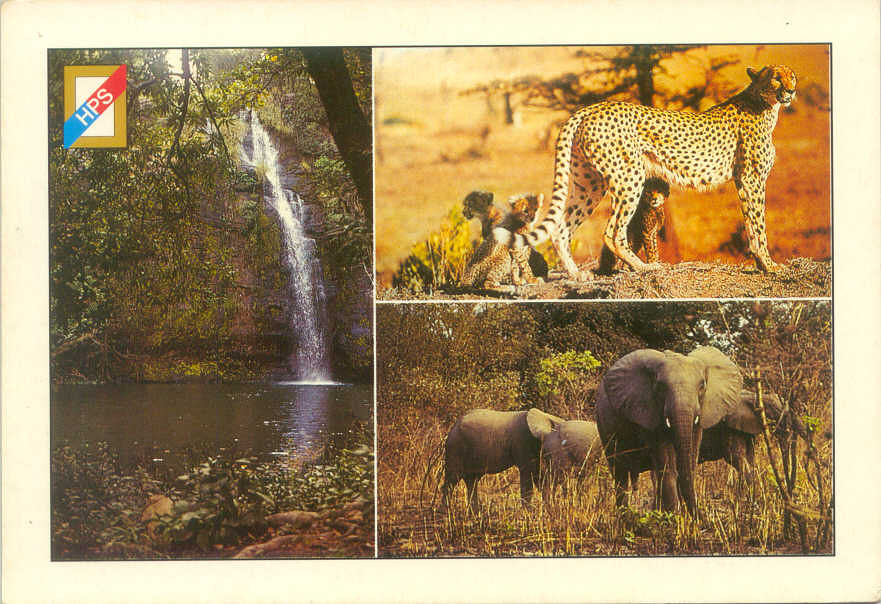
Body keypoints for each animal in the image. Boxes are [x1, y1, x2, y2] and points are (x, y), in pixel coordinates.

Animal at [511, 65, 797, 279]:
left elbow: (753, 222)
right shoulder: (751, 179)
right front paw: (768, 264)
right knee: (613, 232)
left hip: (590, 184)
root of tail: (590, 108)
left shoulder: (745, 180)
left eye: (792, 76)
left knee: (560, 229)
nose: (792, 90)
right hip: (629, 177)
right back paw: (643, 267)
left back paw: (576, 275)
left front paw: (762, 264)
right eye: (776, 78)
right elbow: (758, 225)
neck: (764, 104)